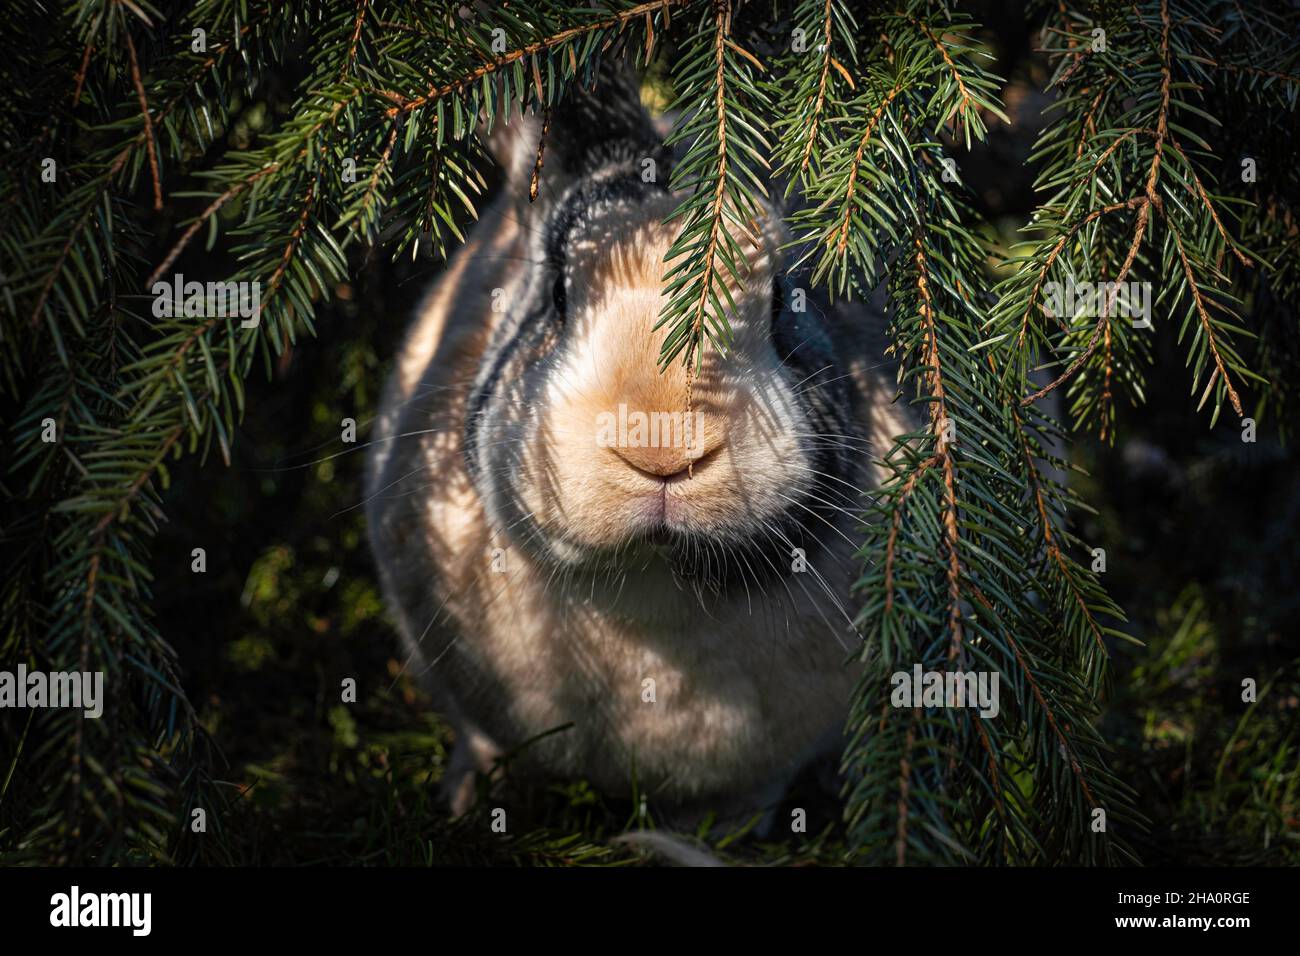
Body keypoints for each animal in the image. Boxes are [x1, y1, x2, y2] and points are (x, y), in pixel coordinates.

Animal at [364, 65, 914, 825]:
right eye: (557, 296)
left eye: (785, 302)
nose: (661, 454)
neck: (651, 586)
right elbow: (478, 742)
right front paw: (464, 801)